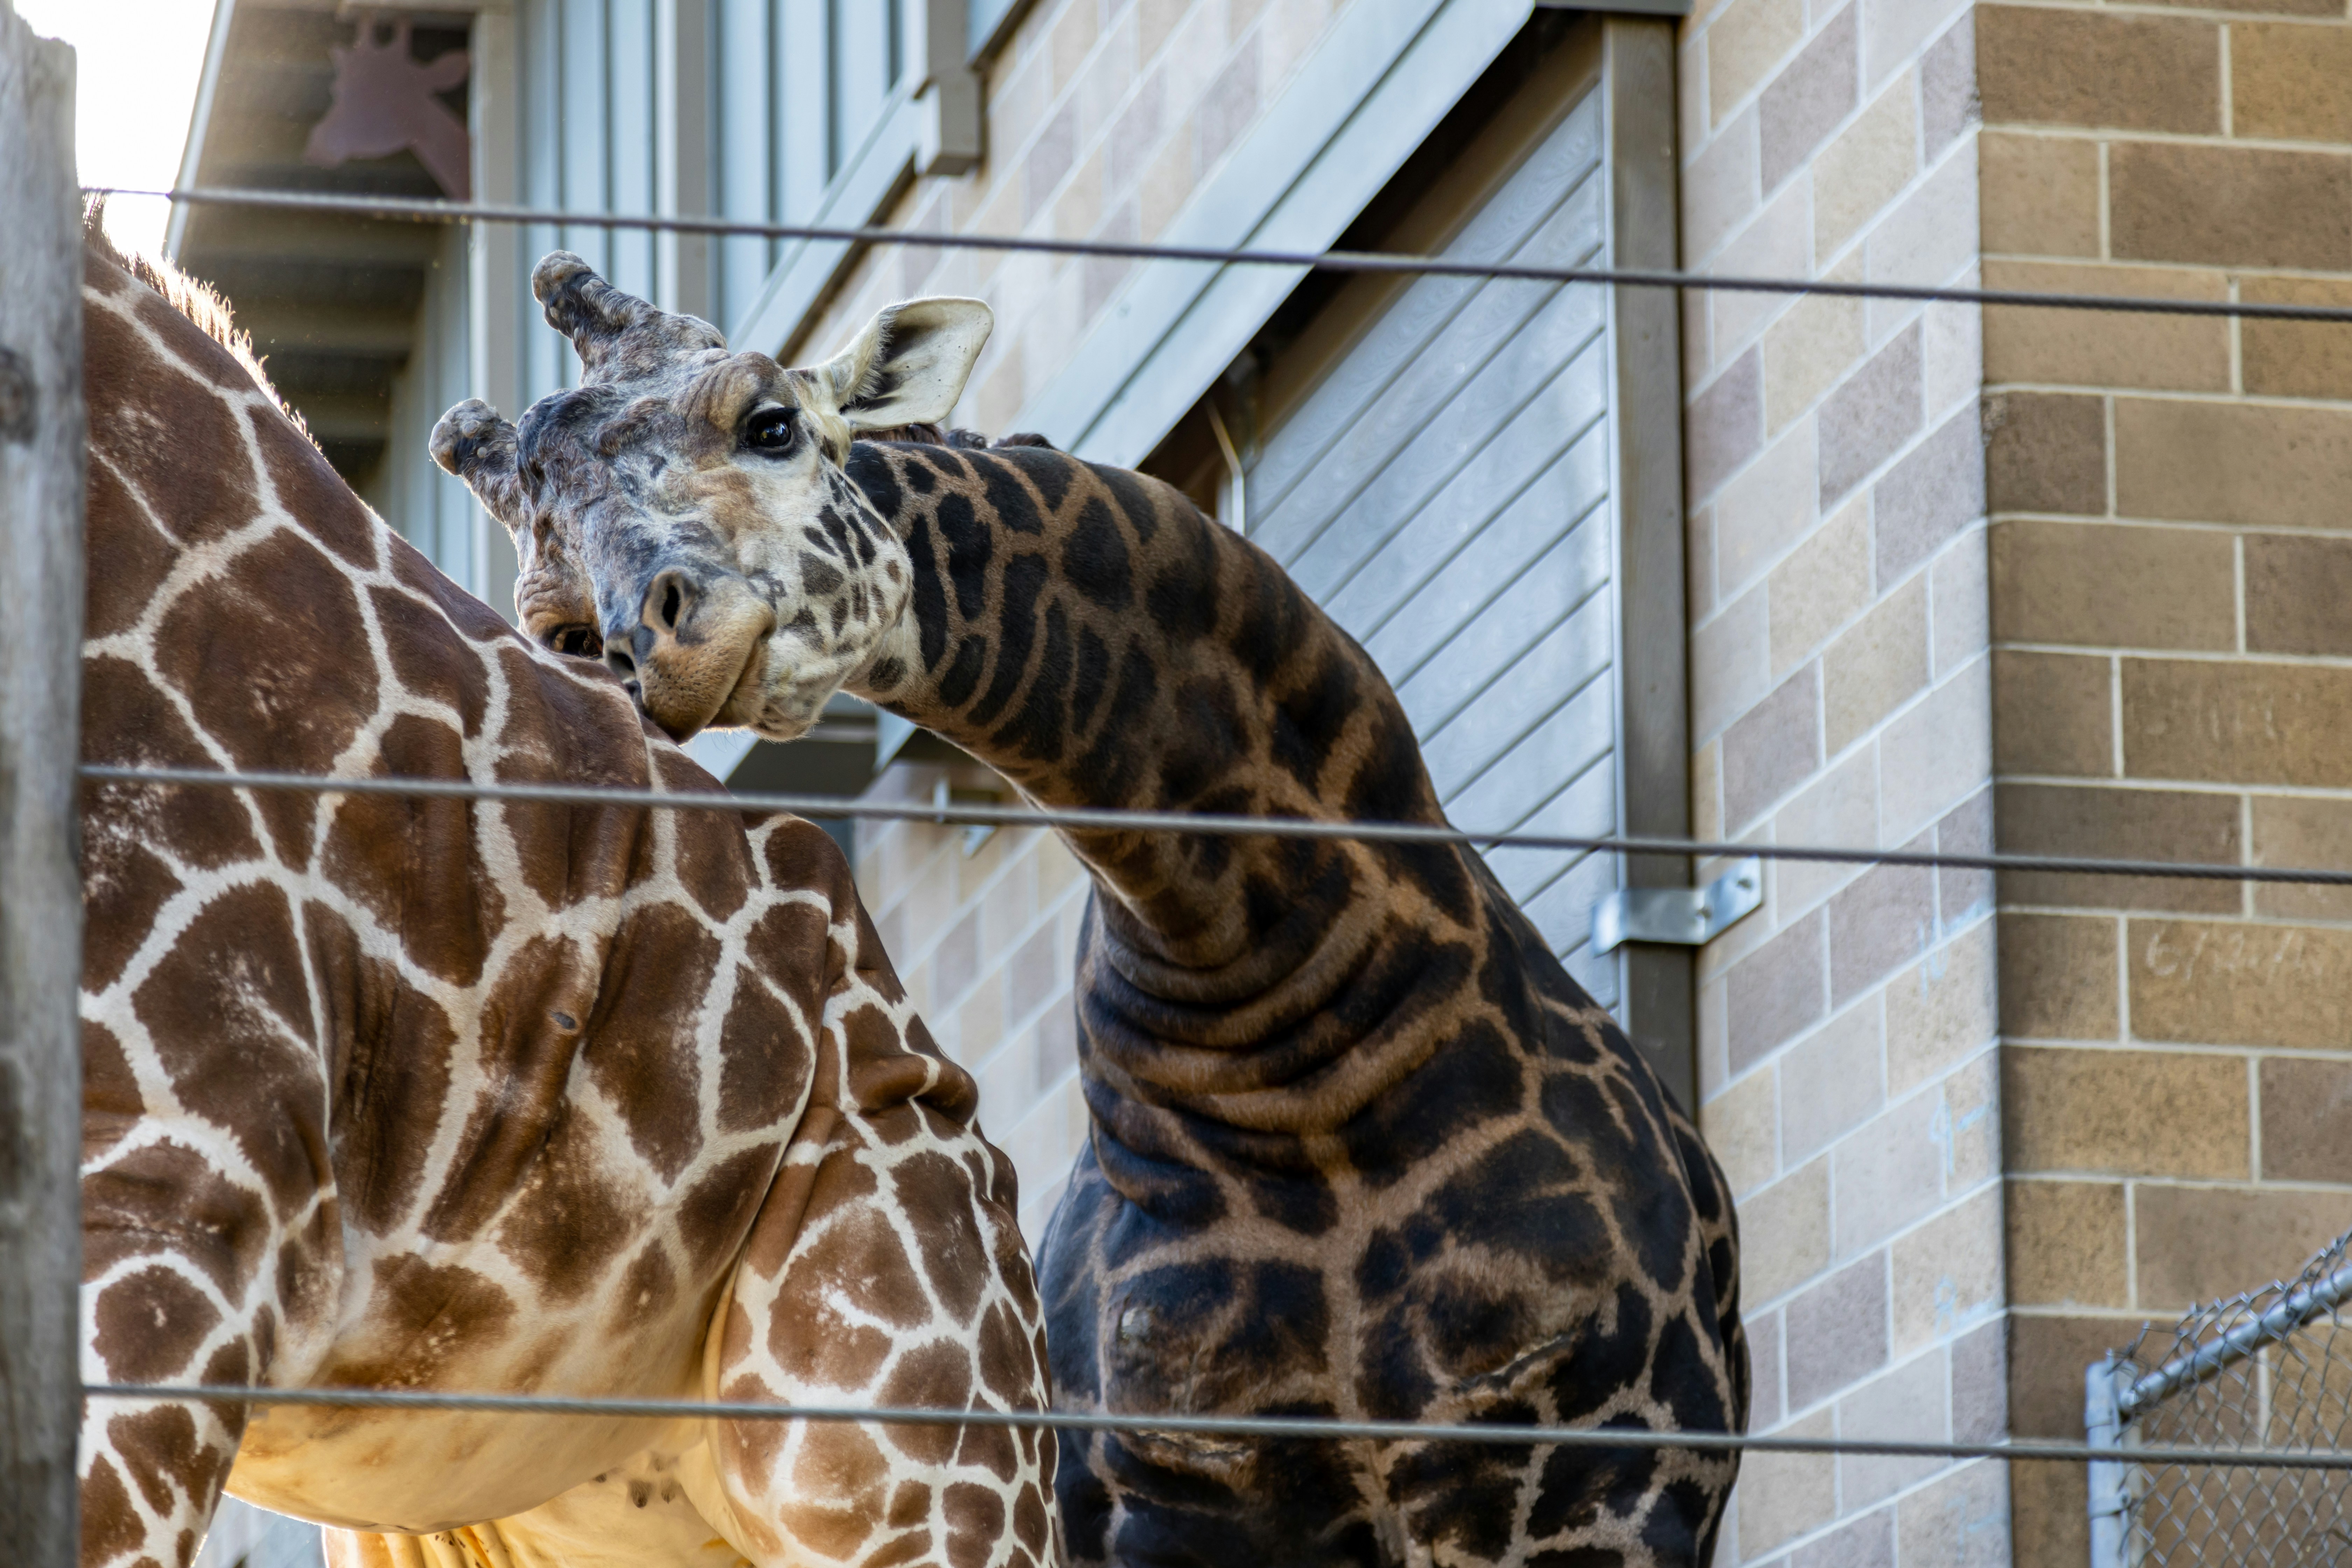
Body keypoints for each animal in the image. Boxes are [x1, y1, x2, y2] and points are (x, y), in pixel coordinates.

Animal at [435, 255, 1749, 1568]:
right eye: (558, 632)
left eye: (771, 422)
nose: (659, 651)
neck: (1292, 1034)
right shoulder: (1160, 1491)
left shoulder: (1596, 1473)